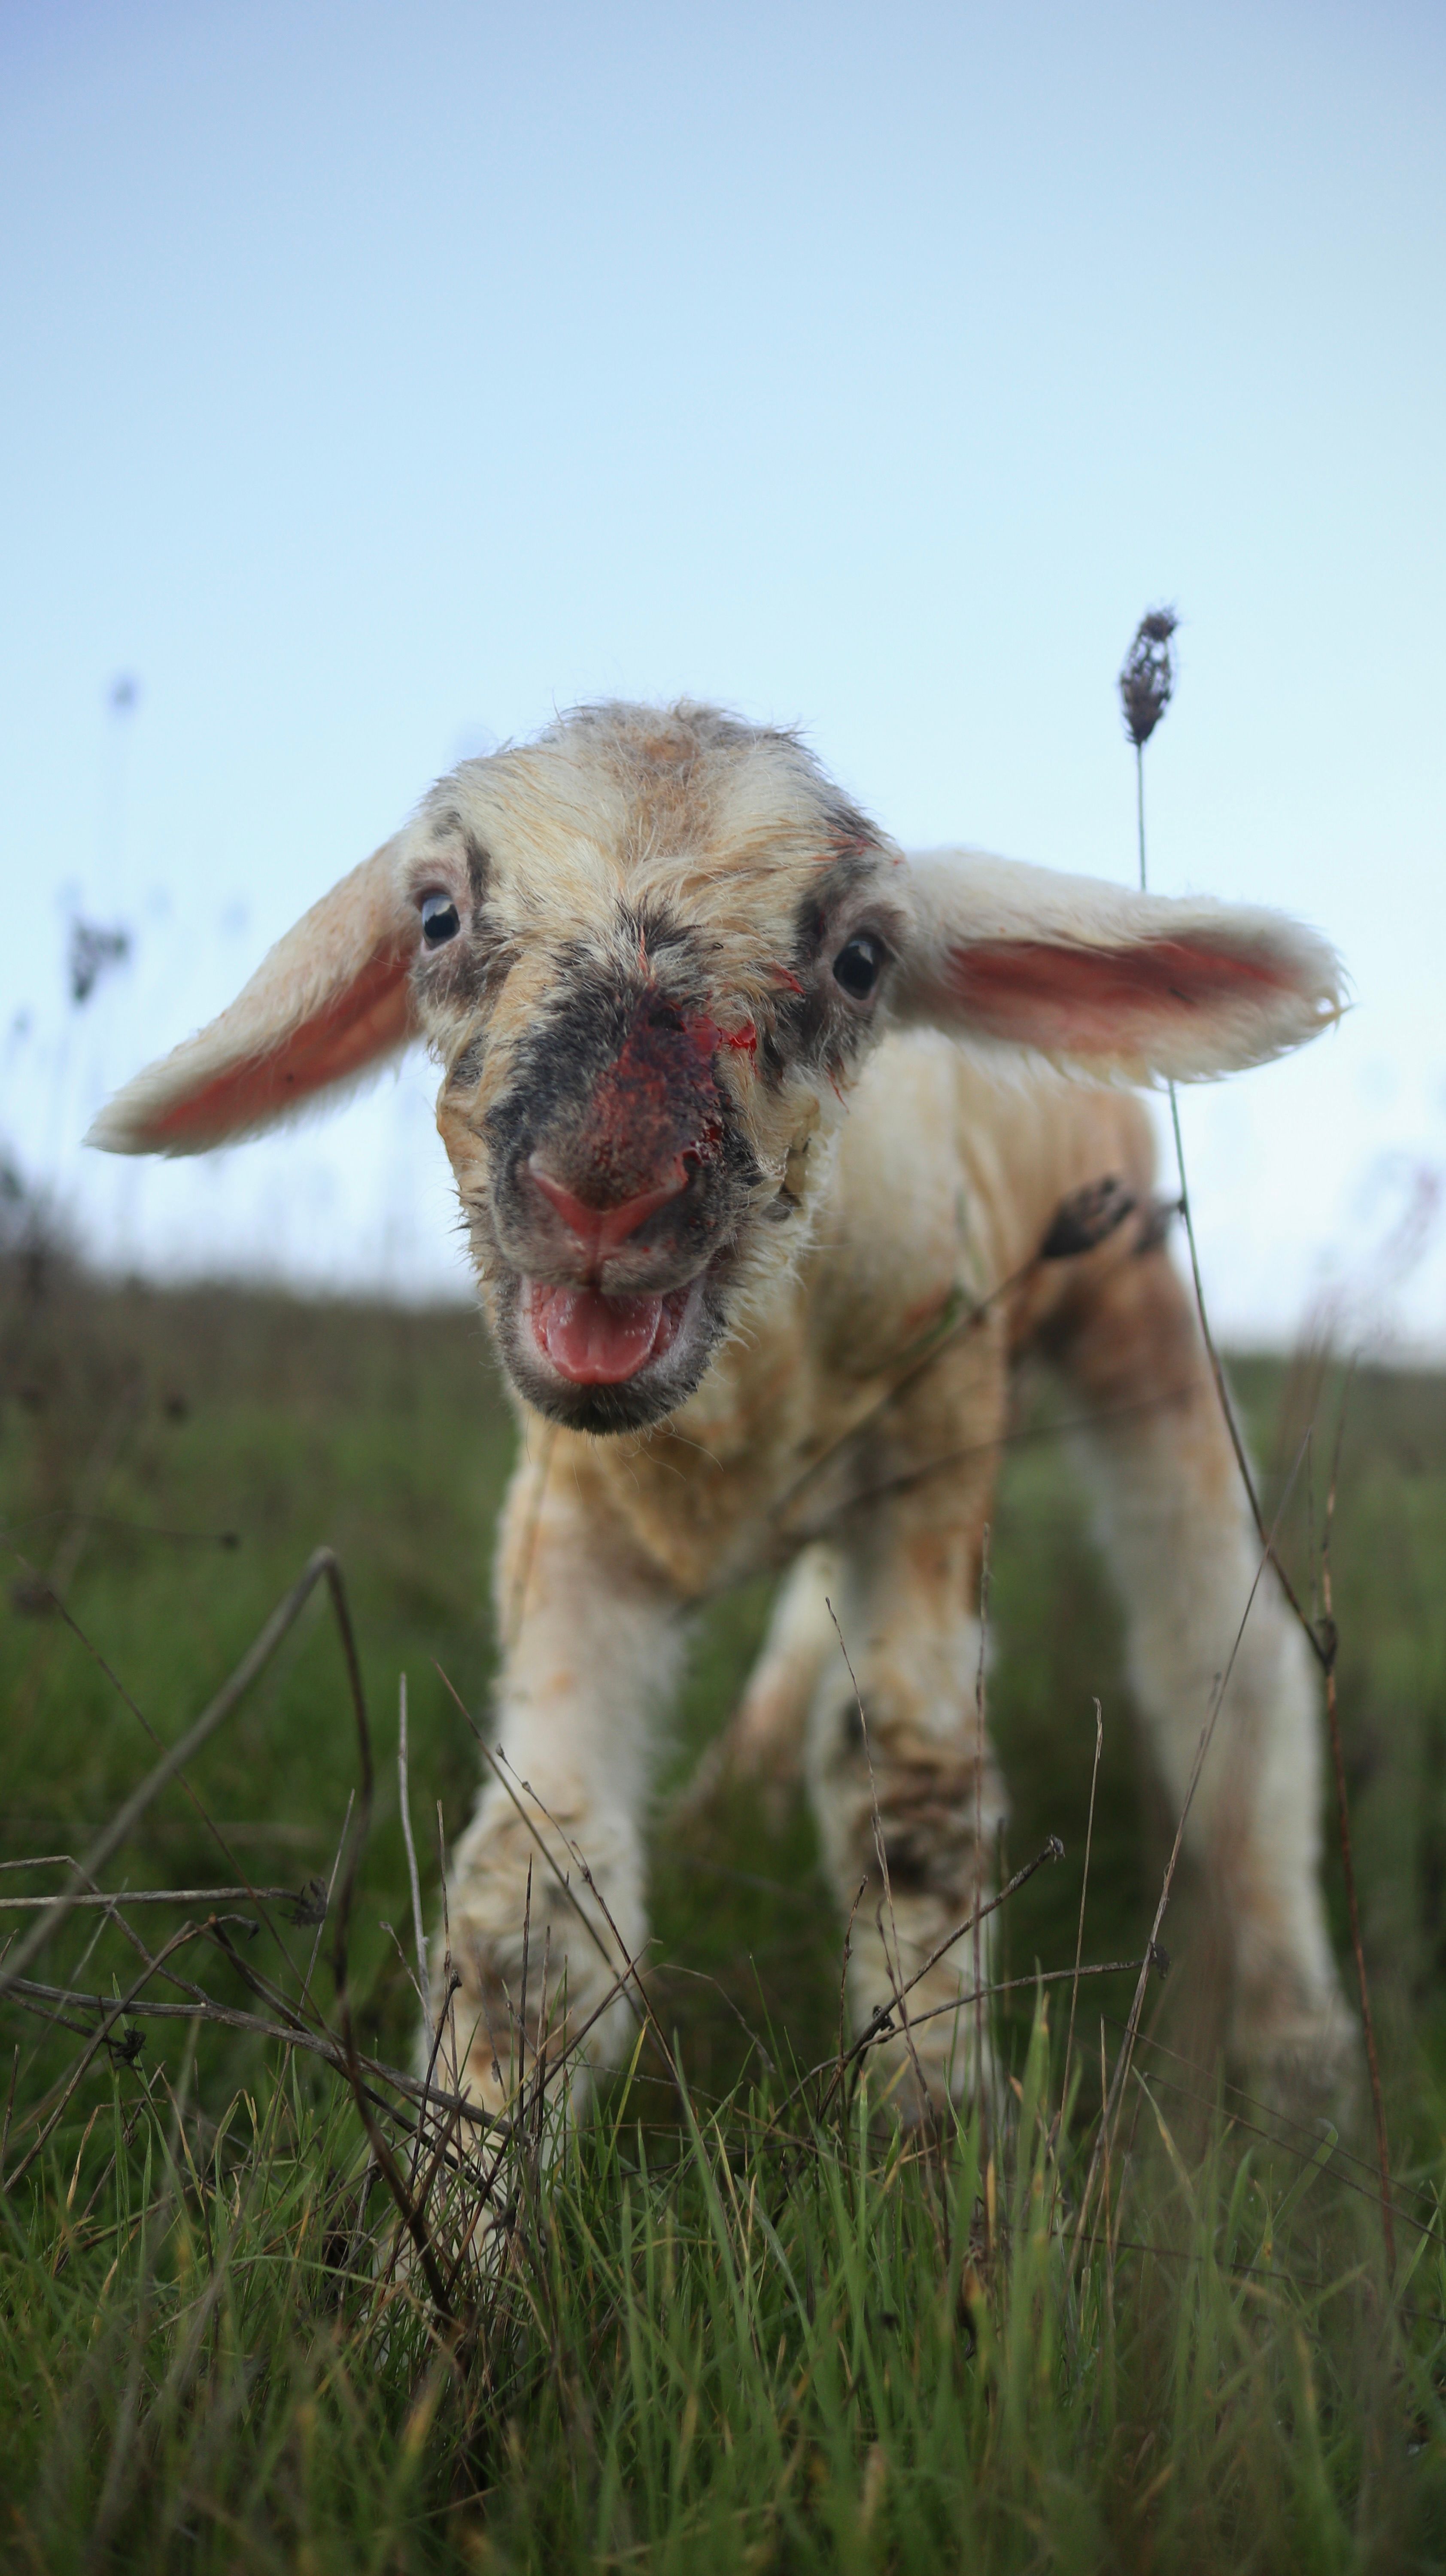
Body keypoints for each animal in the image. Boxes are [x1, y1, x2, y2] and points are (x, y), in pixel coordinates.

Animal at [90, 700, 1353, 2121]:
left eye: (862, 959)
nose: (603, 1186)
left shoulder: (932, 1462)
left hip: (1134, 1305)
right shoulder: (570, 1527)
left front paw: (933, 2126)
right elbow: (533, 1892)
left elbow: (914, 1794)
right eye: (437, 916)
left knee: (1224, 1656)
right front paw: (466, 2177)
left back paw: (1297, 2050)